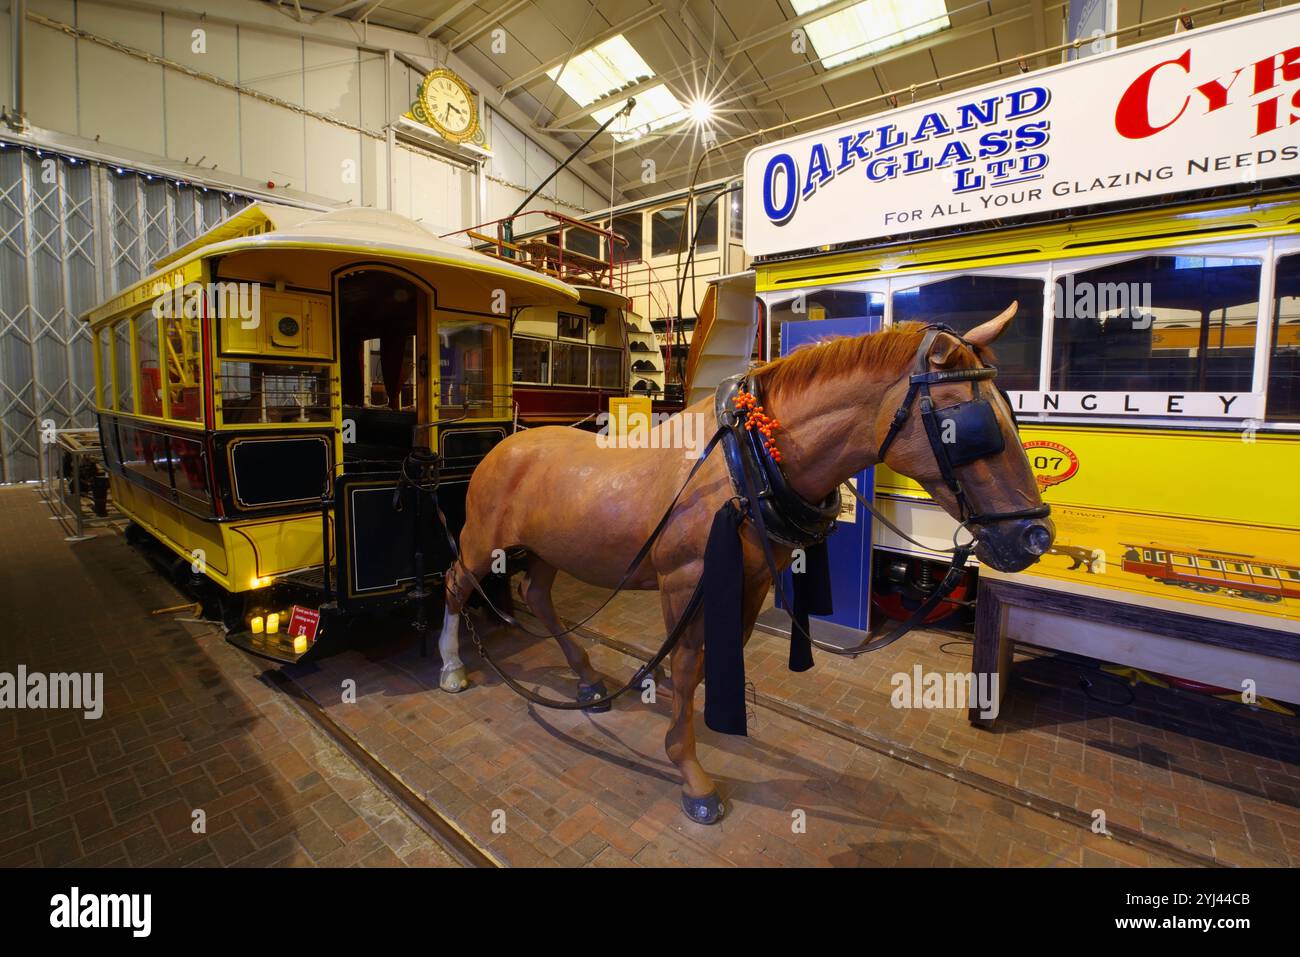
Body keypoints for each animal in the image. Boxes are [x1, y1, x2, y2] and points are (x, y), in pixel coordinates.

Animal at [435, 304, 1054, 822]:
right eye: (973, 426)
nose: (1035, 536)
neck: (743, 464)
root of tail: (506, 445)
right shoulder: (684, 582)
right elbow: (688, 667)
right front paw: (690, 772)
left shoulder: (752, 579)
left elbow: (720, 651)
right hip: (482, 542)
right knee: (455, 584)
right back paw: (452, 667)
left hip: (548, 550)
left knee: (538, 596)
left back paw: (586, 678)